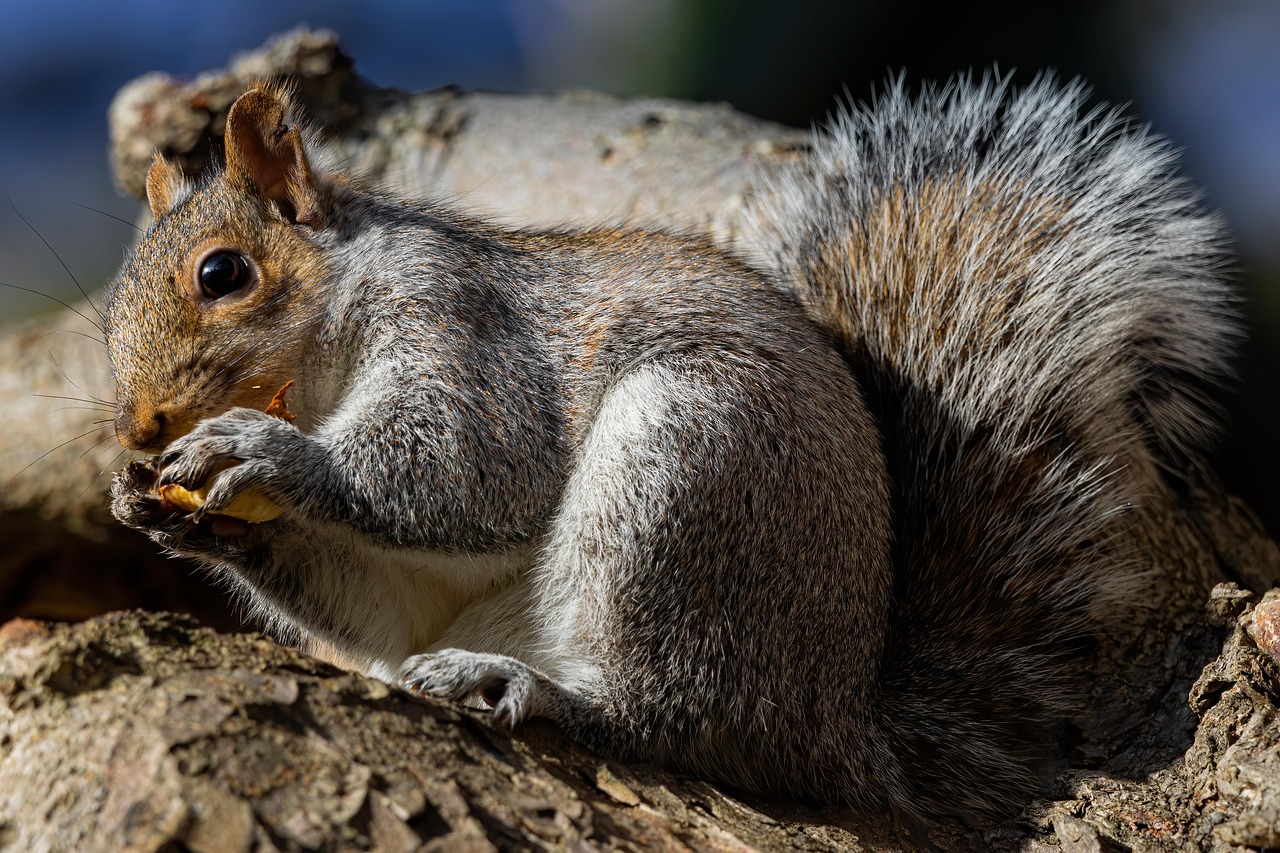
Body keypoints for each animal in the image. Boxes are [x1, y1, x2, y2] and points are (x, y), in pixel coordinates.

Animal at [105, 76, 1236, 824]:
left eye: (223, 272)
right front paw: (164, 515)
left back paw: (535, 687)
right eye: (114, 304)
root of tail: (840, 726)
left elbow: (464, 471)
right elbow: (386, 601)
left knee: (680, 720)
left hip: (682, 476)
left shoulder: (459, 331)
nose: (141, 426)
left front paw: (265, 449)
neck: (326, 360)